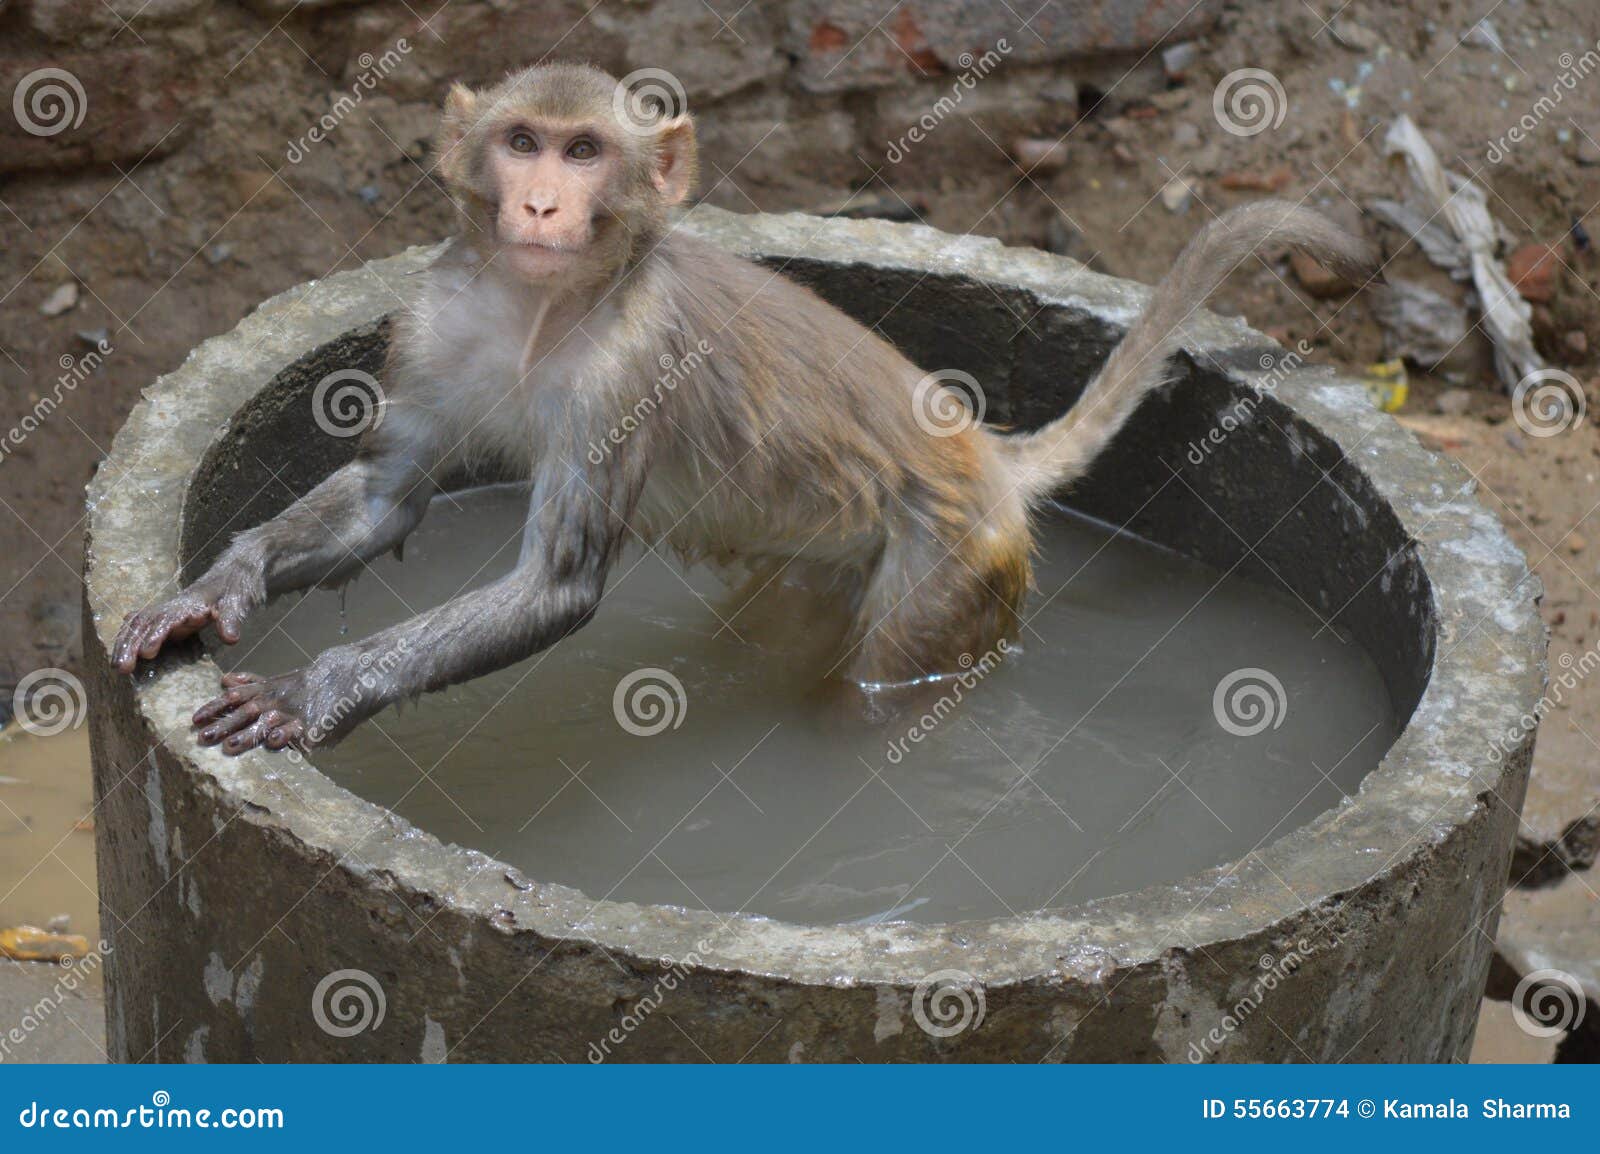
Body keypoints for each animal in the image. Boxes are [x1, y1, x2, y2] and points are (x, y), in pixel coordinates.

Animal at [111, 62, 1379, 756]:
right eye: (522, 141)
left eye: (584, 150)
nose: (539, 201)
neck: (543, 308)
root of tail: (985, 458)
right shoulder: (434, 316)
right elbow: (384, 500)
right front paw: (215, 583)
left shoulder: (628, 368)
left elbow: (555, 588)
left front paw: (318, 689)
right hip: (820, 562)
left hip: (952, 568)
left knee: (878, 691)